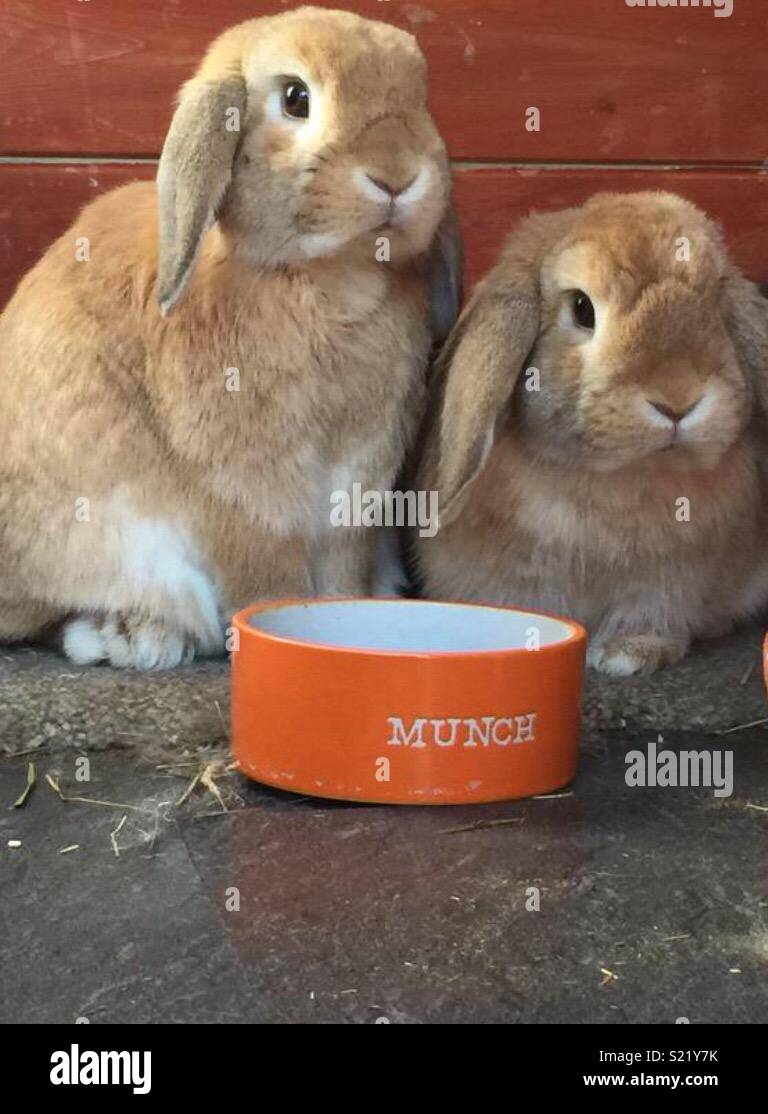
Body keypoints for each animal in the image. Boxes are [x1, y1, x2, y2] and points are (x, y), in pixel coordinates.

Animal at [0, 7, 461, 669]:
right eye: (296, 98)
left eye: (420, 97)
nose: (398, 174)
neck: (333, 279)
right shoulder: (244, 503)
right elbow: (267, 582)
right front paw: (283, 630)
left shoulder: (352, 501)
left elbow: (342, 579)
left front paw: (344, 620)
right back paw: (133, 635)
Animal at [413, 191, 768, 675]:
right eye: (582, 308)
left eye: (715, 301)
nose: (677, 399)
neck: (614, 479)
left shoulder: (669, 580)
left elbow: (652, 611)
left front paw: (629, 655)